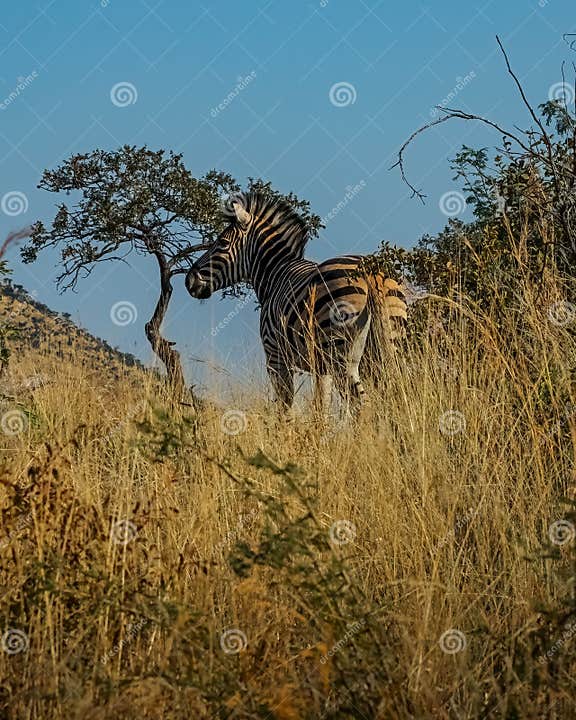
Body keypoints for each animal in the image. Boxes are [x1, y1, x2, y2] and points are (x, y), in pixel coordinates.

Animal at [185, 192, 407, 413]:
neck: (275, 273)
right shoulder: (321, 367)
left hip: (342, 352)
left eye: (222, 243)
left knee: (361, 403)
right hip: (387, 342)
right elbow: (321, 405)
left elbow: (285, 406)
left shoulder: (276, 356)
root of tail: (370, 272)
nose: (189, 280)